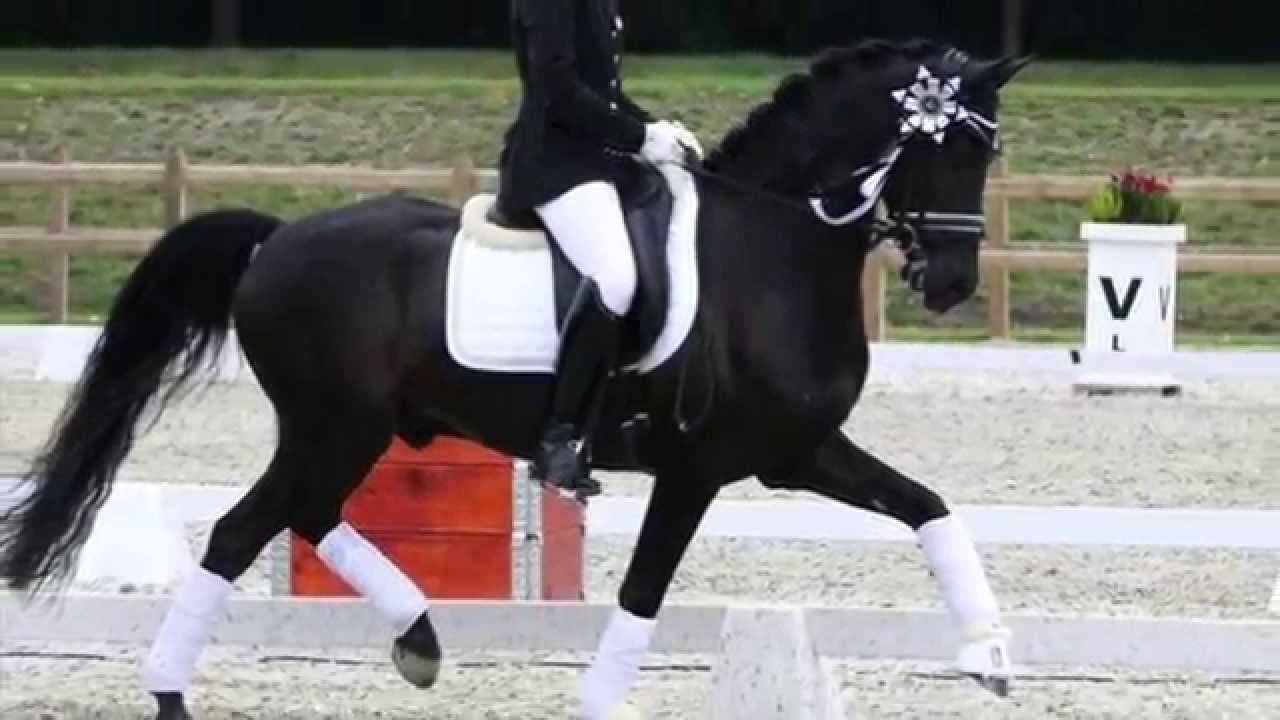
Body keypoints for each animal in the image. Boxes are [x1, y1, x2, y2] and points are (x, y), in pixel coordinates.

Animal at [0, 38, 1030, 719]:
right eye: (943, 146)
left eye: (986, 152)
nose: (951, 283)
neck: (770, 248)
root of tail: (279, 236)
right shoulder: (698, 469)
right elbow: (642, 597)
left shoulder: (797, 452)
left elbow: (930, 507)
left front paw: (989, 655)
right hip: (334, 426)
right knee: (241, 529)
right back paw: (180, 691)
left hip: (345, 432)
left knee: (296, 517)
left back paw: (416, 639)